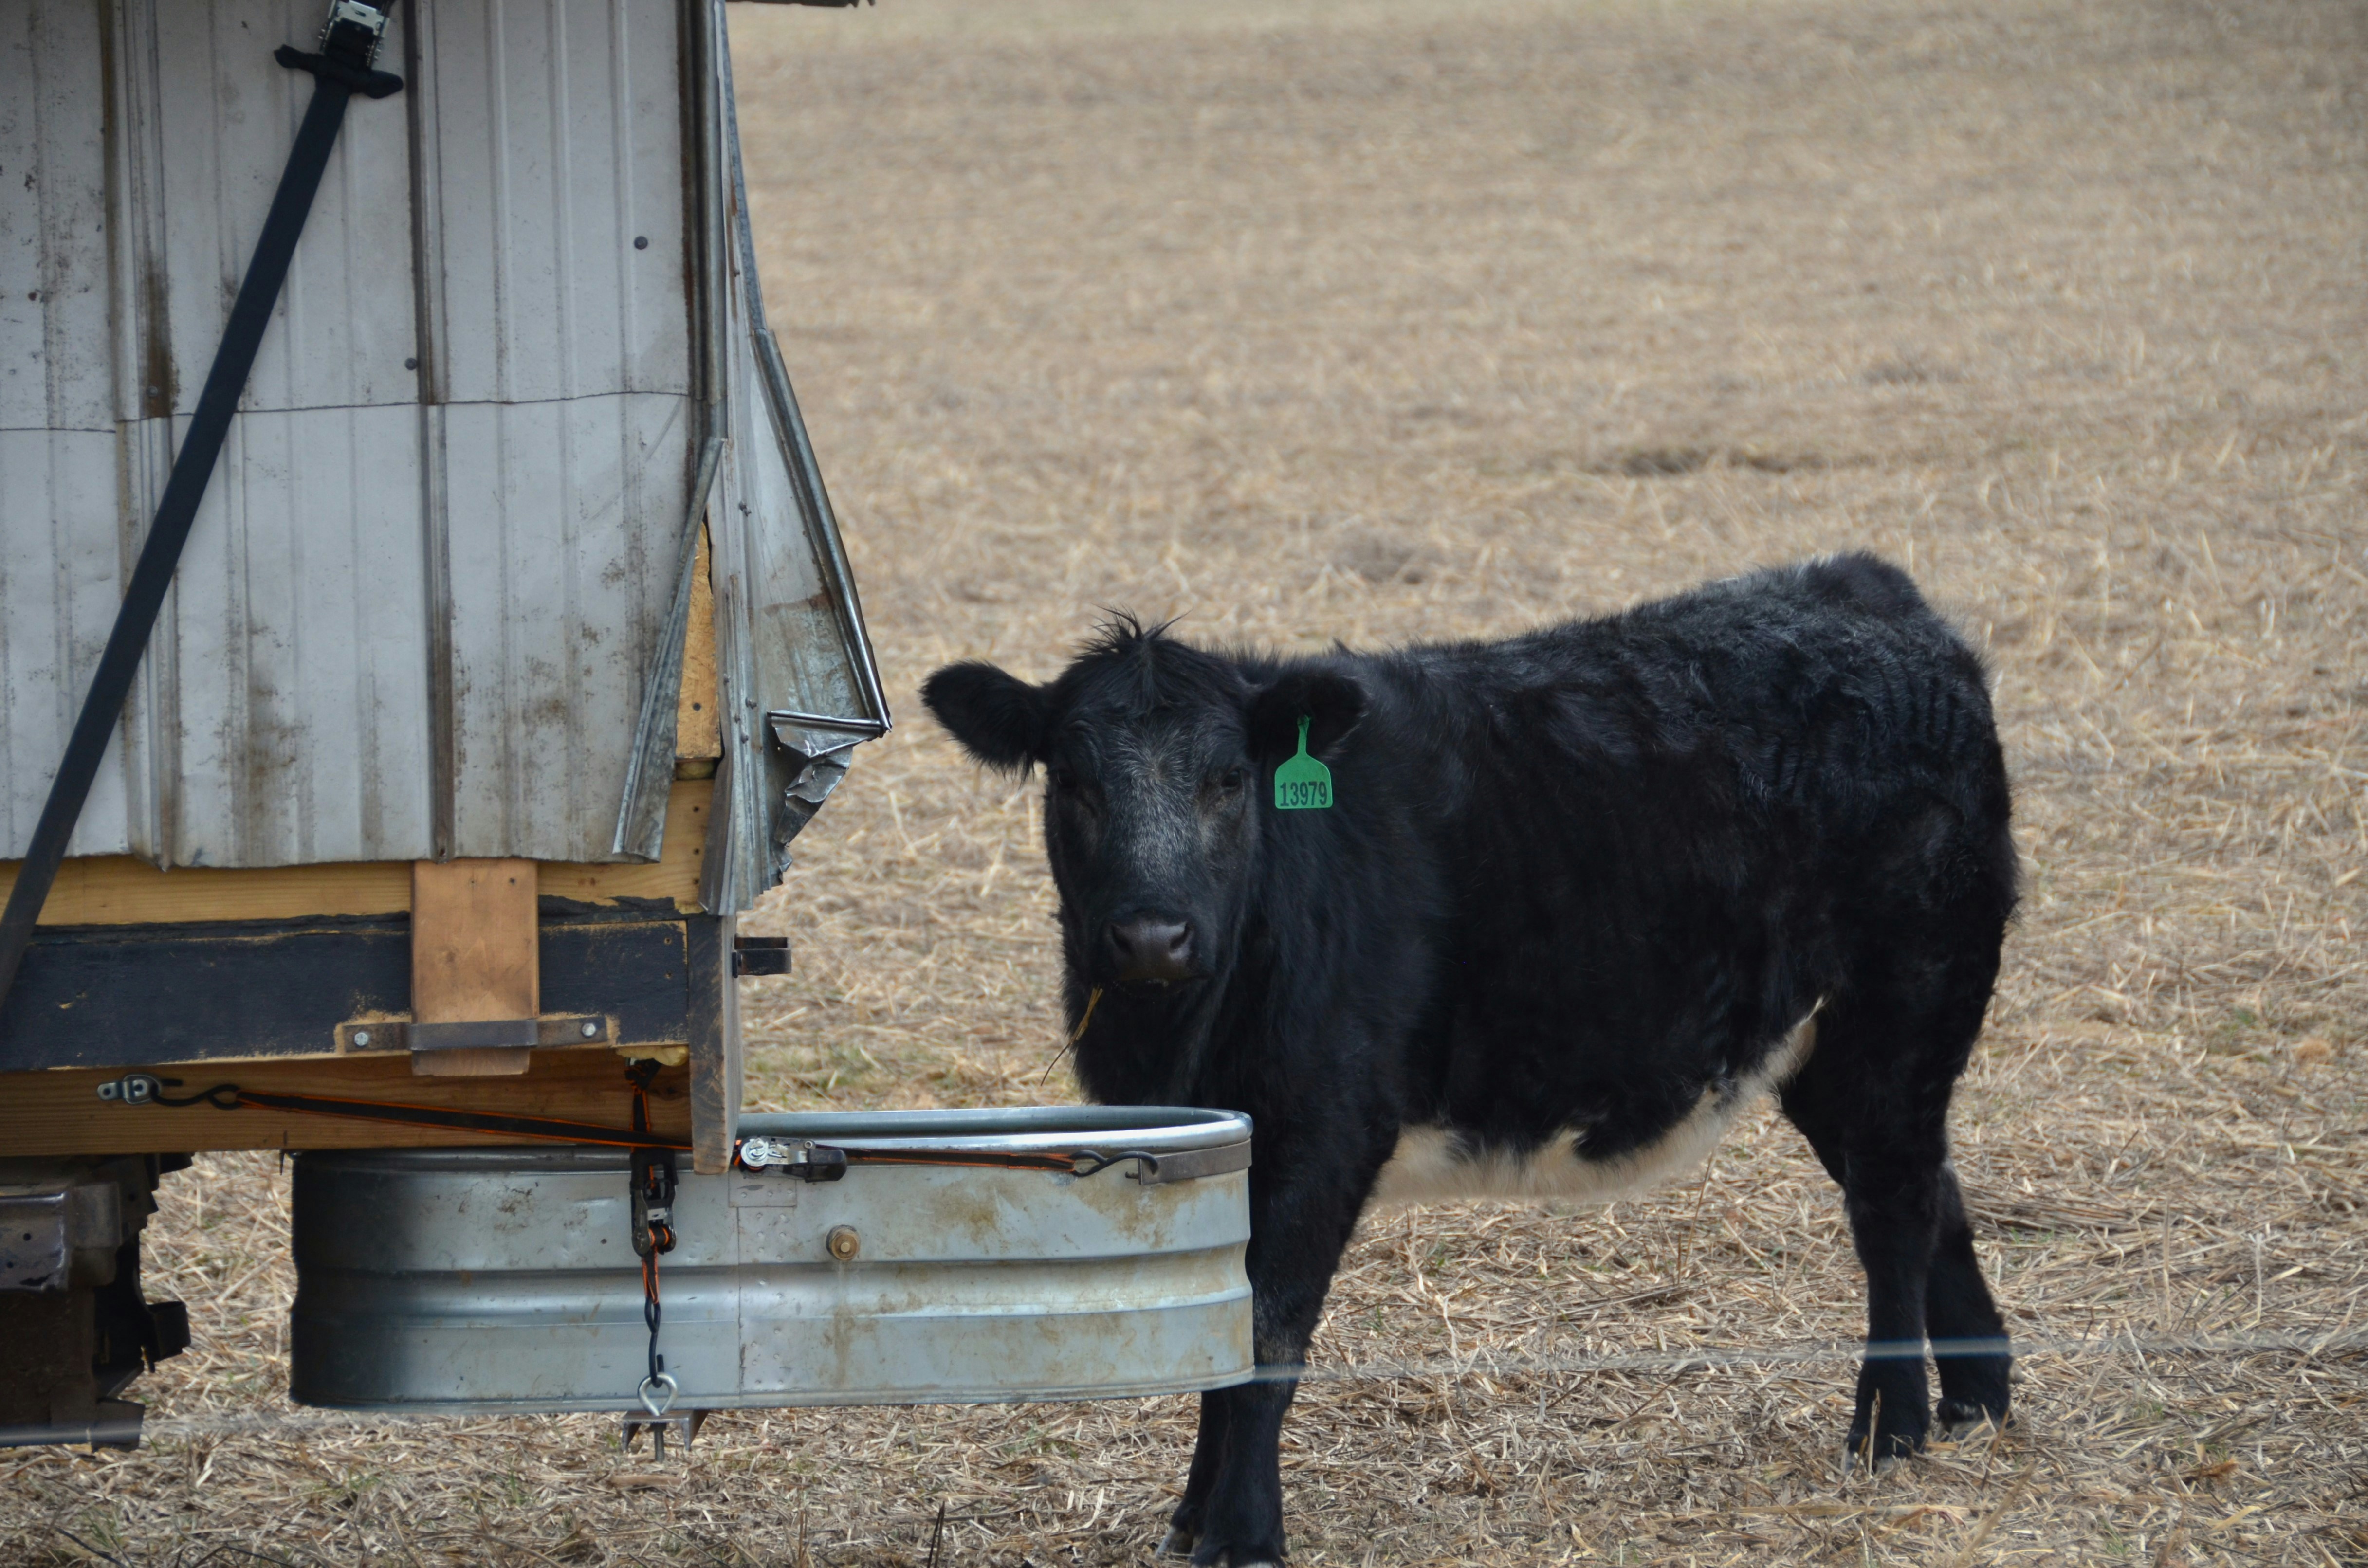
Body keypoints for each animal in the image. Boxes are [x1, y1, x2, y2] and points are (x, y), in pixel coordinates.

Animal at [922, 554, 2017, 1567]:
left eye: (1228, 780)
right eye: (1073, 783)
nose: (1152, 936)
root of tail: (1865, 591)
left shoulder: (1326, 1132)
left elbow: (1269, 1333)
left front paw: (1241, 1533)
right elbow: (1220, 1338)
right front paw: (1195, 1516)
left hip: (1908, 997)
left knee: (1893, 1204)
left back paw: (1890, 1425)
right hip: (1831, 1050)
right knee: (1934, 1190)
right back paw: (1976, 1394)